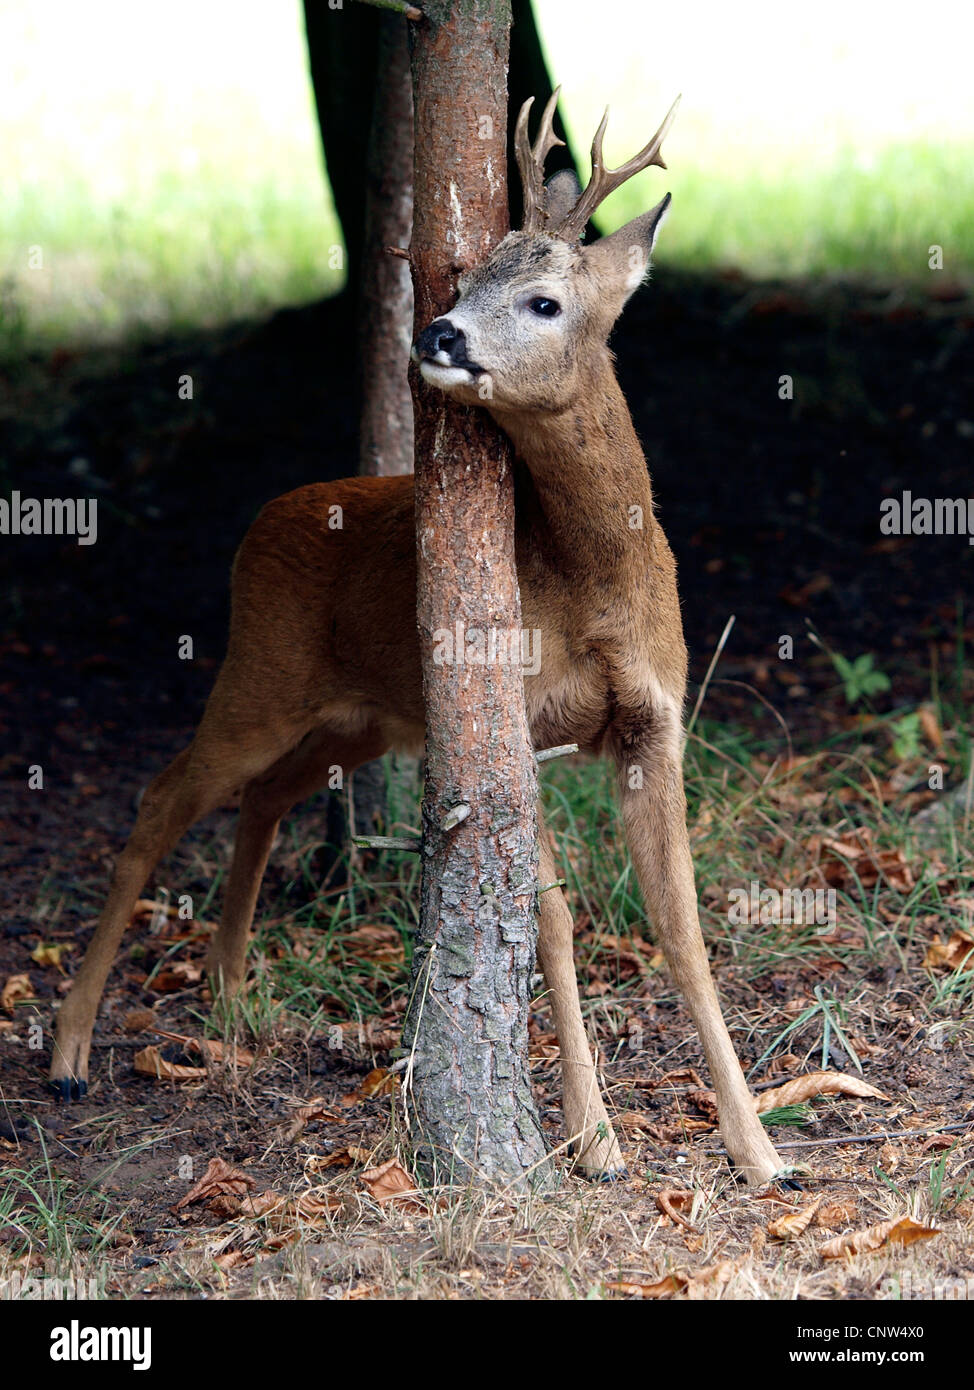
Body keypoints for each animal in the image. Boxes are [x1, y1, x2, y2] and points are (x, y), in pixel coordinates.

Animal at [49, 92, 785, 1187]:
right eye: (466, 276)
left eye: (543, 303)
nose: (434, 329)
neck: (594, 583)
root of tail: (261, 519)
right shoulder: (516, 713)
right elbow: (551, 919)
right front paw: (595, 1140)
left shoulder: (657, 722)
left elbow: (684, 927)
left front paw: (761, 1148)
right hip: (259, 674)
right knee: (165, 796)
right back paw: (69, 1050)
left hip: (363, 716)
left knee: (266, 794)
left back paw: (229, 991)